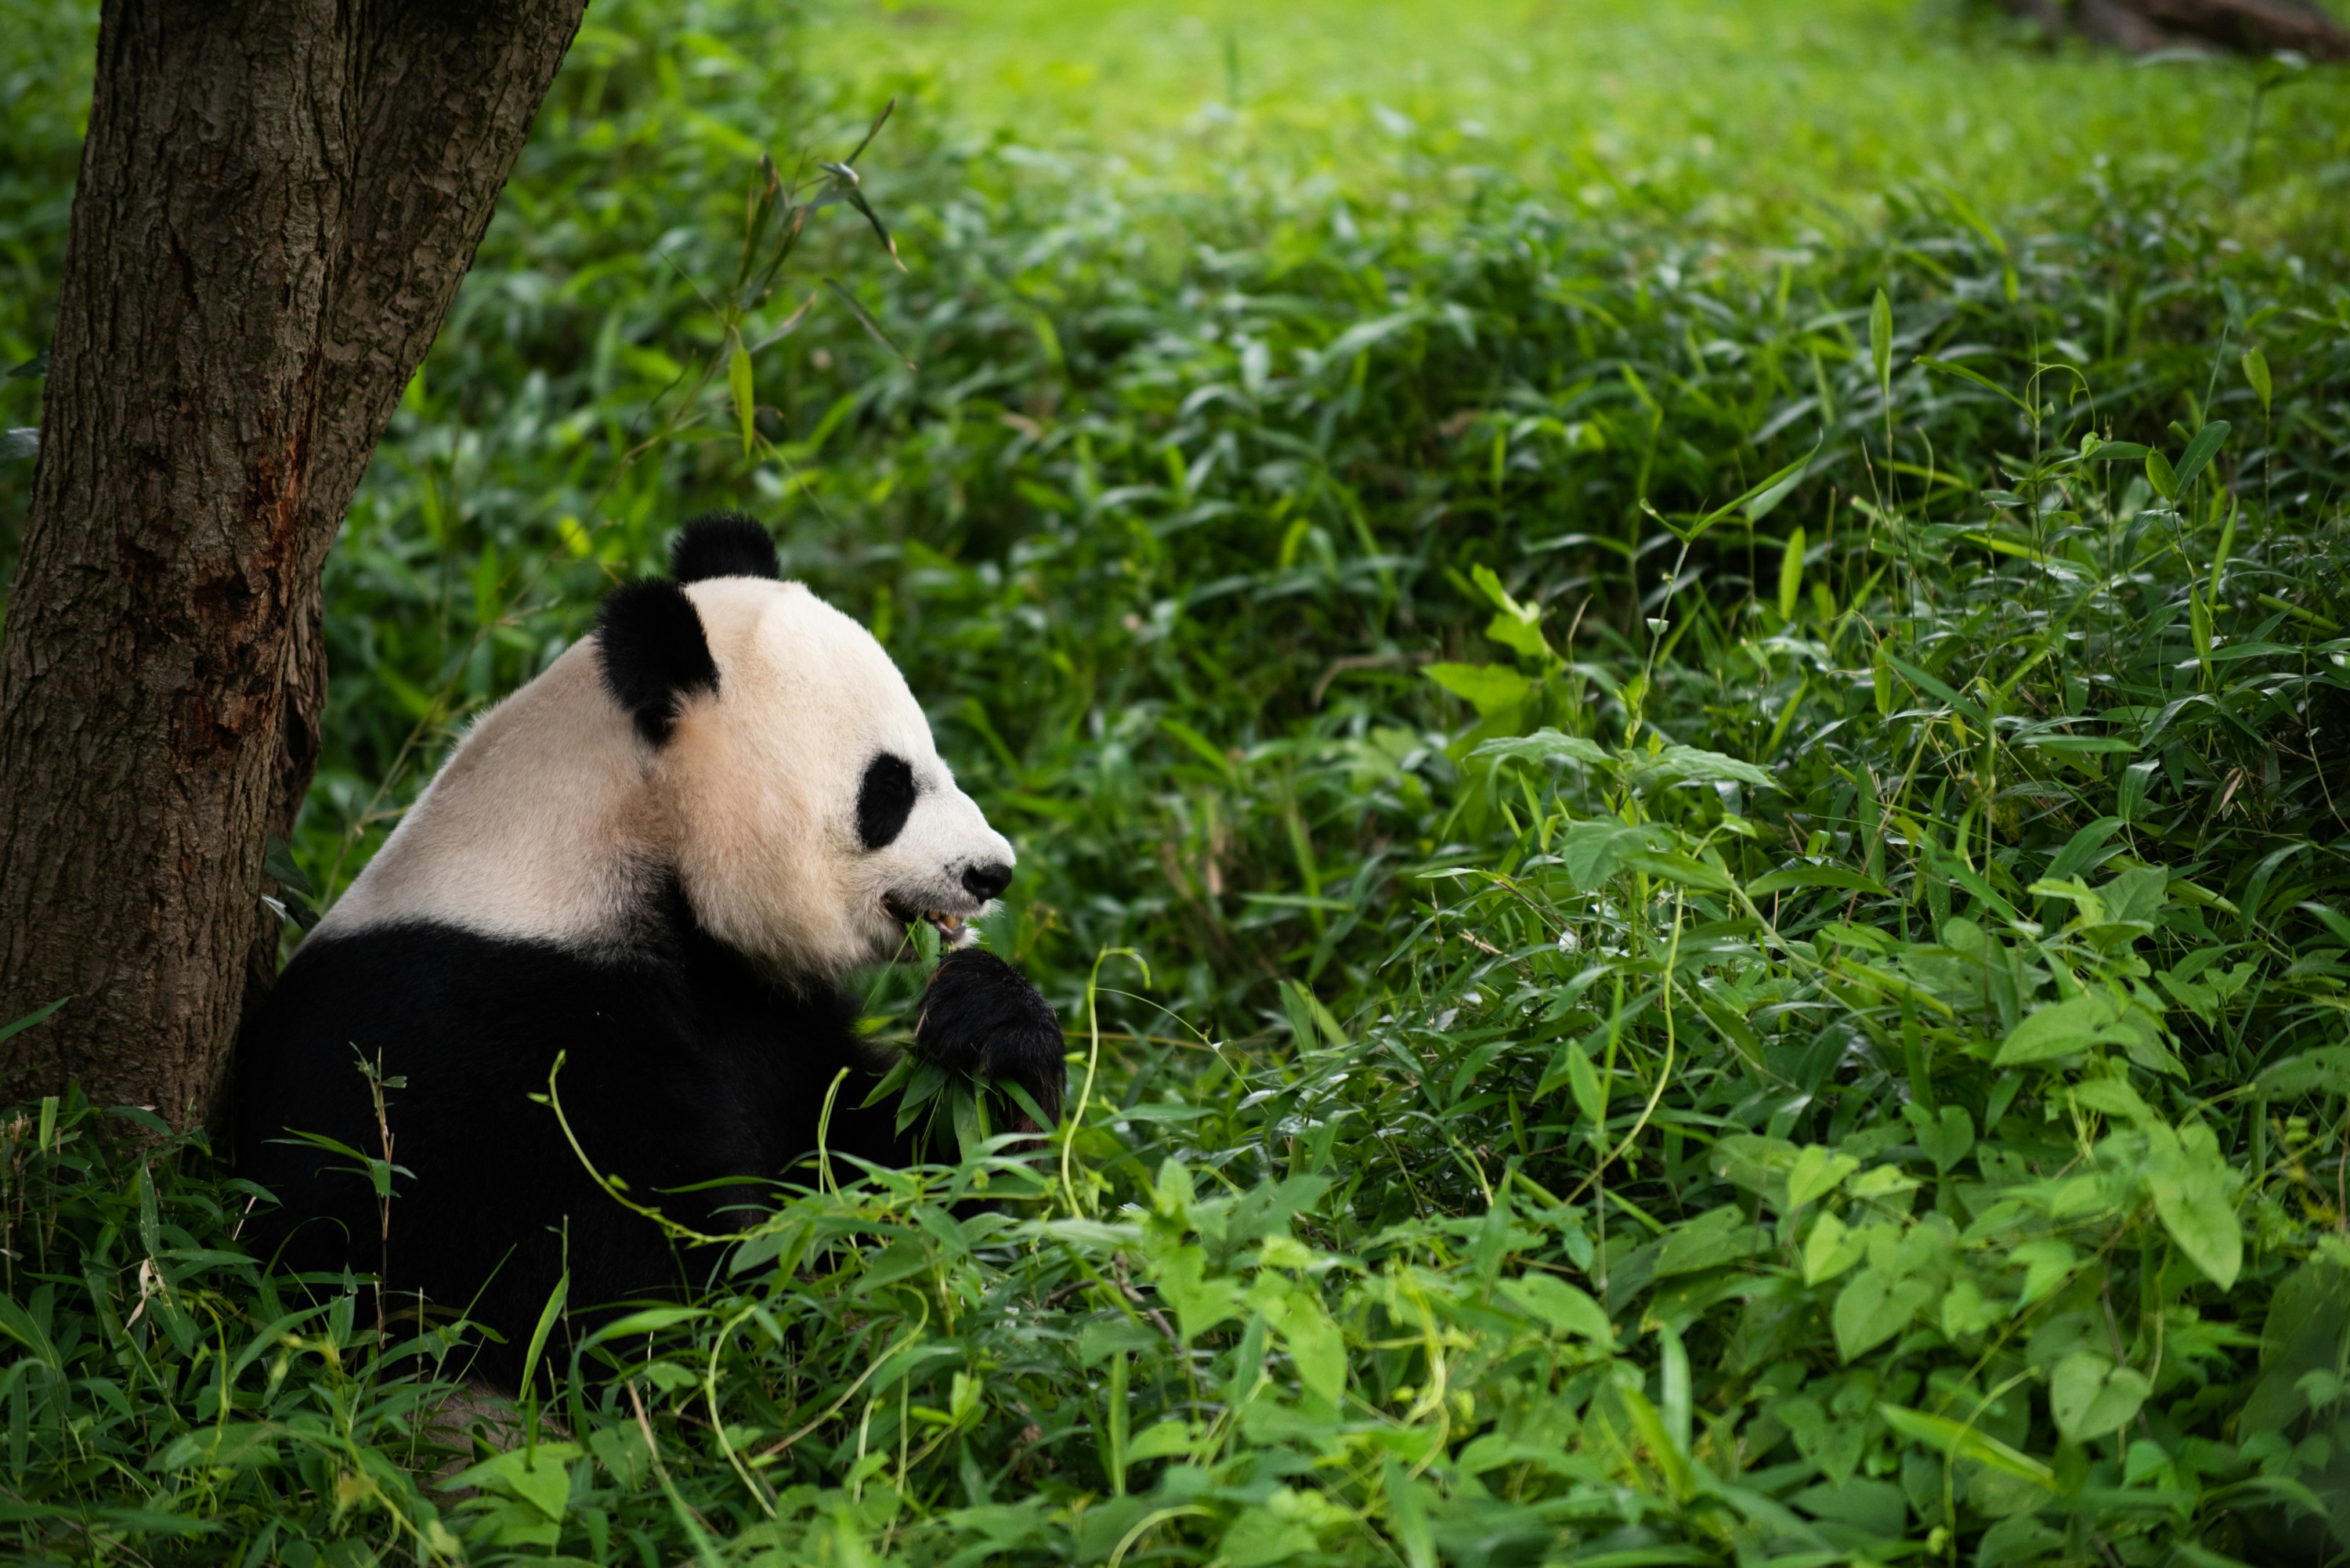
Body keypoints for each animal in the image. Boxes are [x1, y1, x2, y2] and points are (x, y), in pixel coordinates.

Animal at [236, 514, 1063, 1385]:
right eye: (890, 790)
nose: (992, 871)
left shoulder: (758, 998)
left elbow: (883, 1151)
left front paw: (985, 1025)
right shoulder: (490, 1036)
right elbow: (623, 1285)